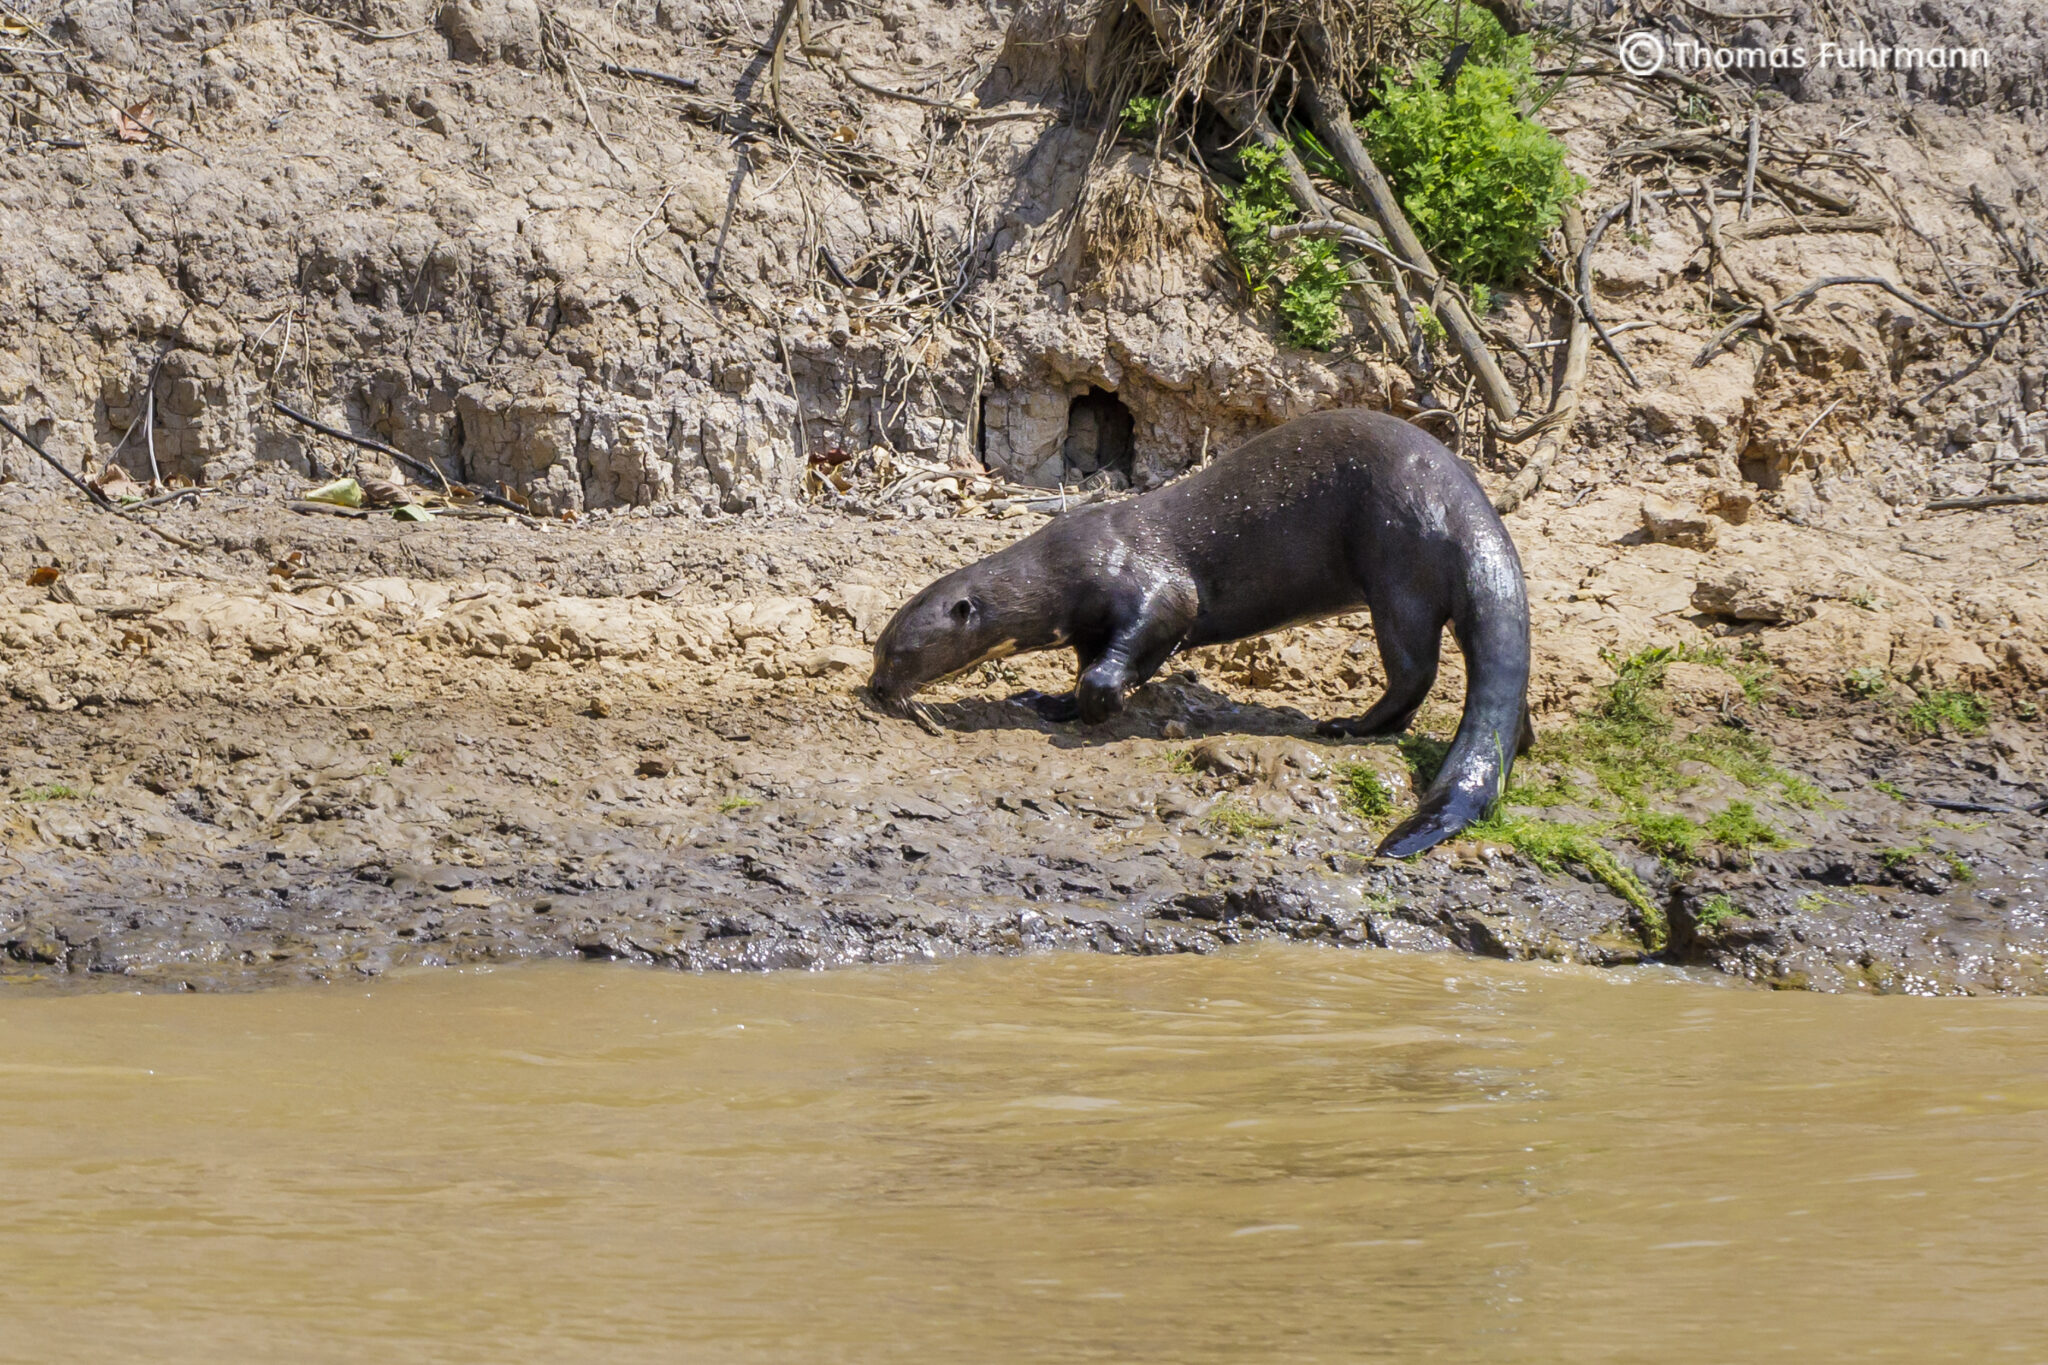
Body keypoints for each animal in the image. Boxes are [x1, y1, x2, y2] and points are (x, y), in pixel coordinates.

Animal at [868, 409, 1532, 857]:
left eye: (898, 656)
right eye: (876, 652)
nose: (875, 689)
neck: (1063, 567)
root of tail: (1470, 508)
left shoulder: (1146, 581)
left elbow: (1149, 630)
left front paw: (1097, 700)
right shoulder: (1085, 625)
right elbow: (1090, 661)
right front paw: (1050, 700)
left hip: (1398, 559)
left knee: (1415, 669)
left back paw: (1348, 725)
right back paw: (1519, 741)